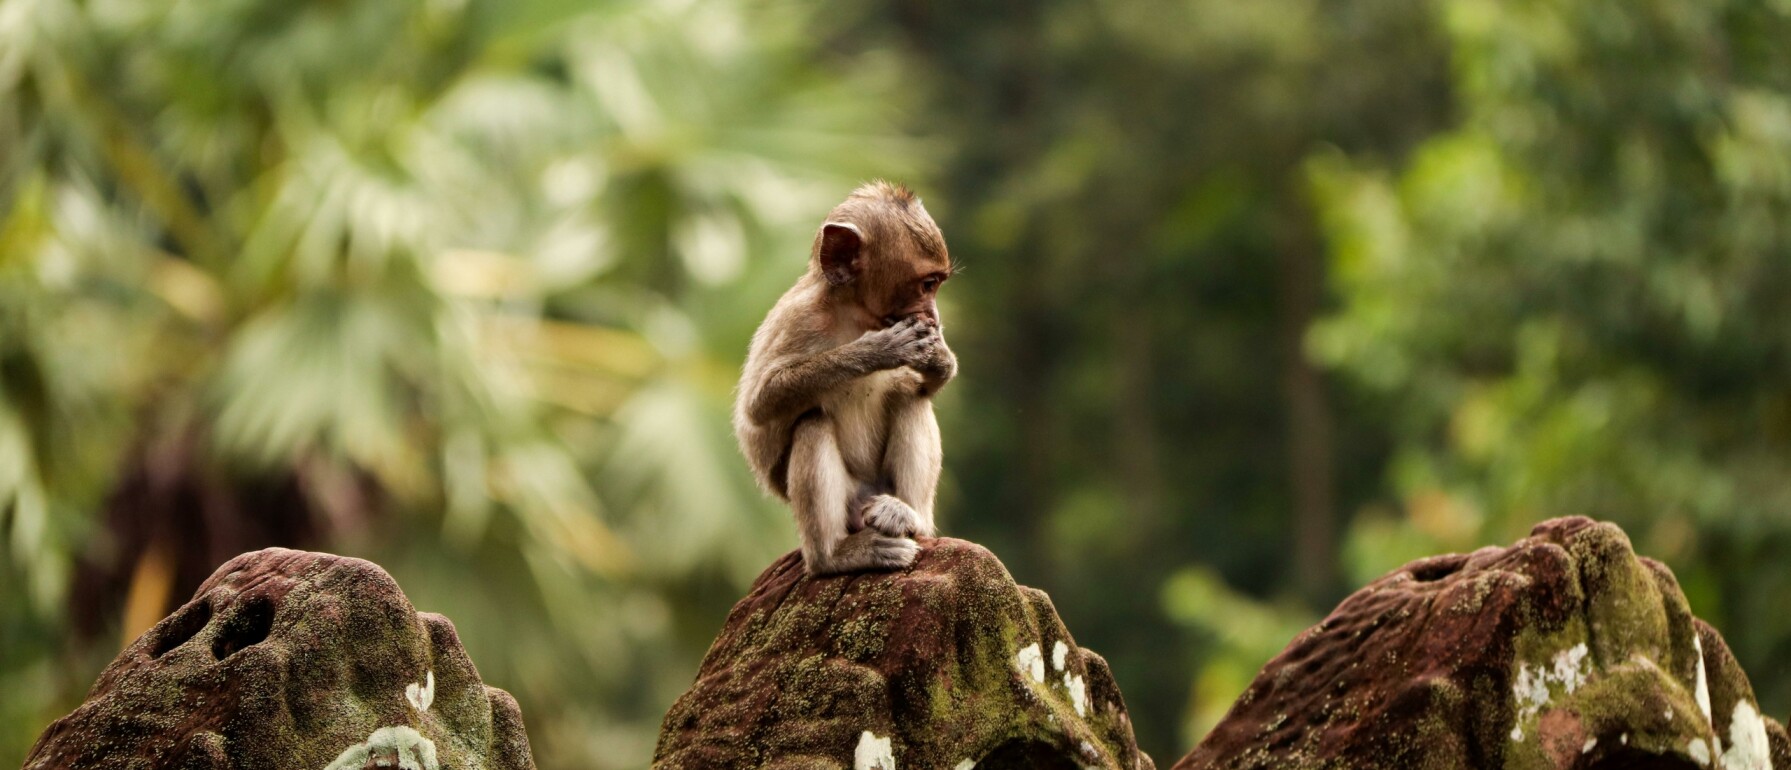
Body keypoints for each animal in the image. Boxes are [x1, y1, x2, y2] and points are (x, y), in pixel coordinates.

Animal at [734, 181, 957, 576]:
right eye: (927, 284)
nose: (934, 316)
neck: (855, 314)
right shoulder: (797, 318)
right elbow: (759, 405)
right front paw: (878, 350)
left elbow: (927, 383)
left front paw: (937, 356)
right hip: (848, 502)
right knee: (812, 422)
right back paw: (833, 557)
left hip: (881, 489)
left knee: (909, 396)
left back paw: (908, 516)